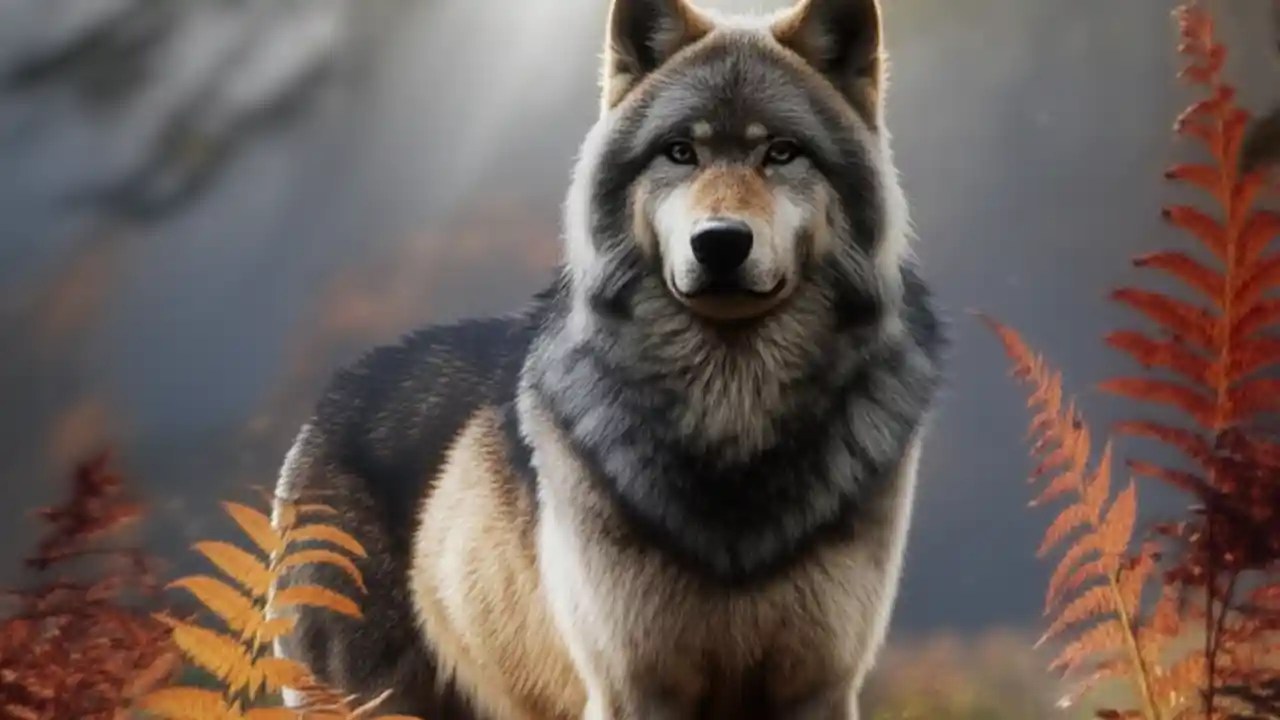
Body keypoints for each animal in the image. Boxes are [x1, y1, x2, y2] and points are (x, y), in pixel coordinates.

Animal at [272, 0, 944, 717]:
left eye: (781, 152)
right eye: (681, 151)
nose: (720, 242)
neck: (731, 420)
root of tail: (327, 399)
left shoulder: (819, 687)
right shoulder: (632, 690)